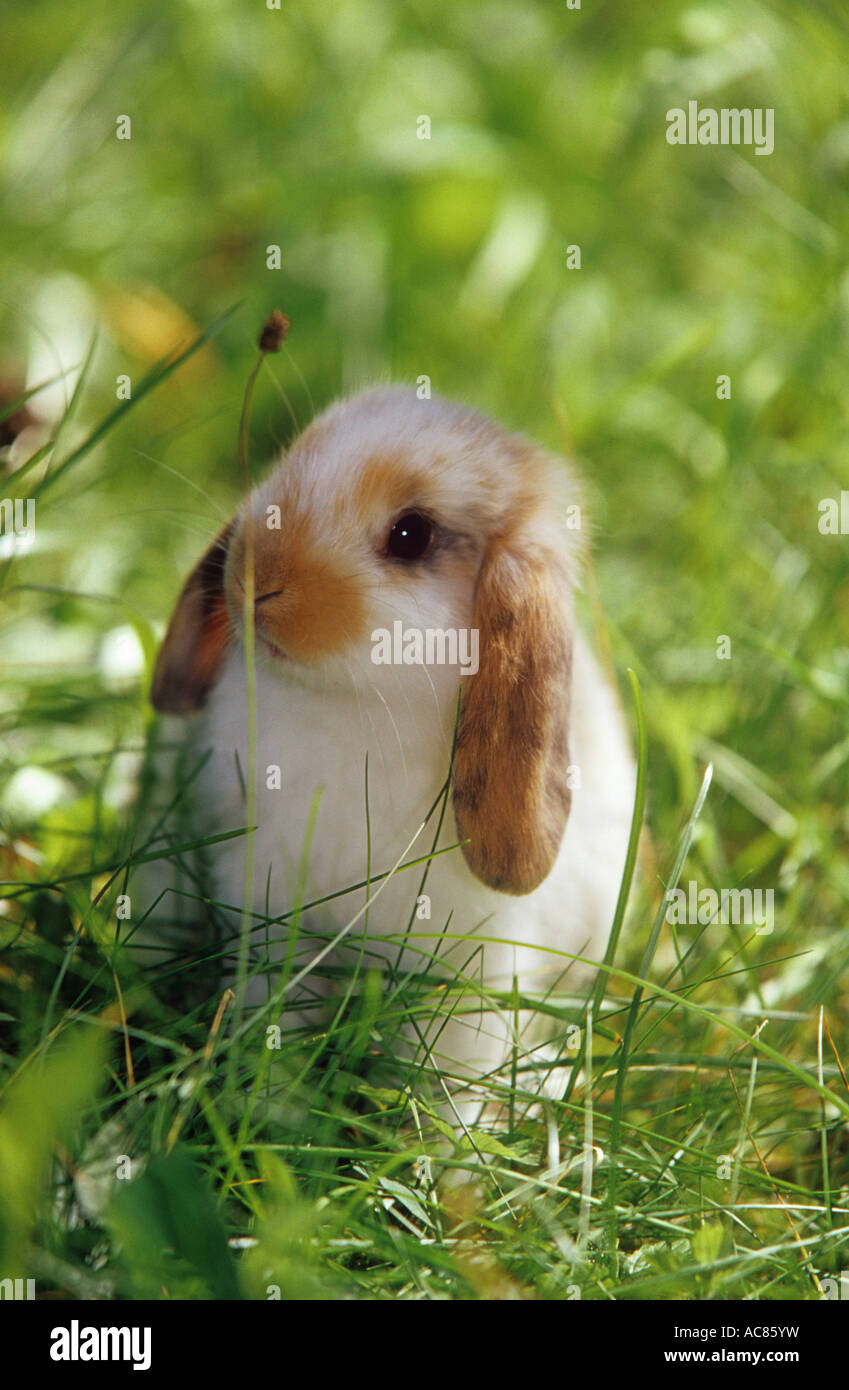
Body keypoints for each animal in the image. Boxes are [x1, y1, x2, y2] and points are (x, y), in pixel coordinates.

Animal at [148, 384, 635, 1116]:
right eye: (289, 460)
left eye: (412, 535)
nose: (254, 578)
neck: (348, 706)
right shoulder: (269, 910)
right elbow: (277, 1017)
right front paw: (270, 1111)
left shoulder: (471, 958)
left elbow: (450, 1068)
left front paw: (450, 1142)